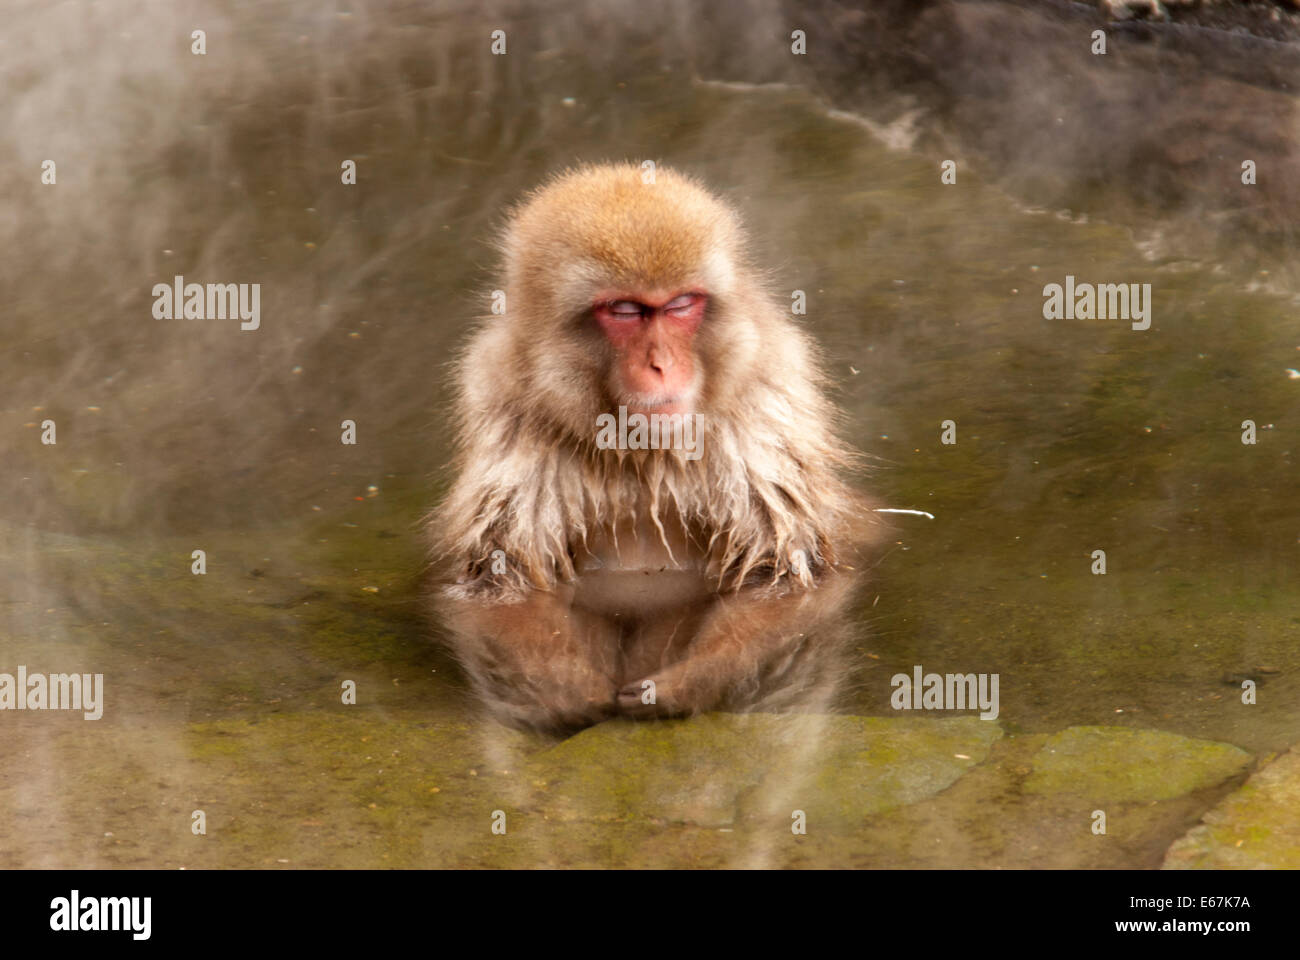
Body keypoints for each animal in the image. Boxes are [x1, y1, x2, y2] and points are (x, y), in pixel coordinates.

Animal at [429, 162, 878, 731]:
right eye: (624, 311)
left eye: (682, 305)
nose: (662, 364)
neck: (641, 454)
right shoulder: (501, 407)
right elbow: (504, 588)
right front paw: (570, 691)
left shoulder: (766, 409)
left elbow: (781, 576)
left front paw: (681, 688)